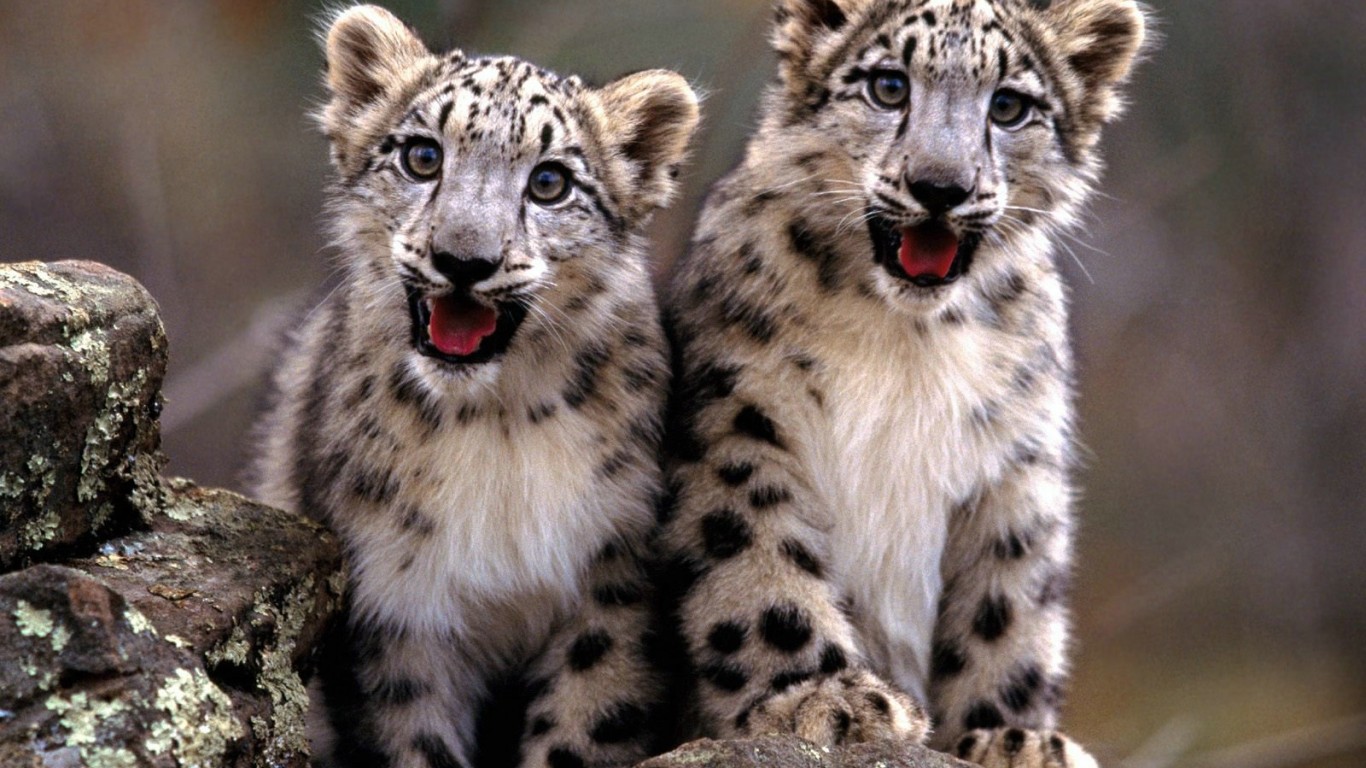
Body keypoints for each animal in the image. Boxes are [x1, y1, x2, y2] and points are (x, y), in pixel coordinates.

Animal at [248, 6, 699, 768]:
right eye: (422, 157)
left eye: (549, 182)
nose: (463, 259)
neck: (496, 423)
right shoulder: (395, 605)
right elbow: (411, 738)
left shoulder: (611, 581)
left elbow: (583, 726)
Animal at [656, 0, 1147, 766]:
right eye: (889, 87)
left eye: (1009, 106)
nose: (941, 187)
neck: (907, 340)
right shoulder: (738, 422)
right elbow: (758, 563)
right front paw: (821, 699)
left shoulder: (1016, 458)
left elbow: (1009, 603)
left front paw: (1013, 735)